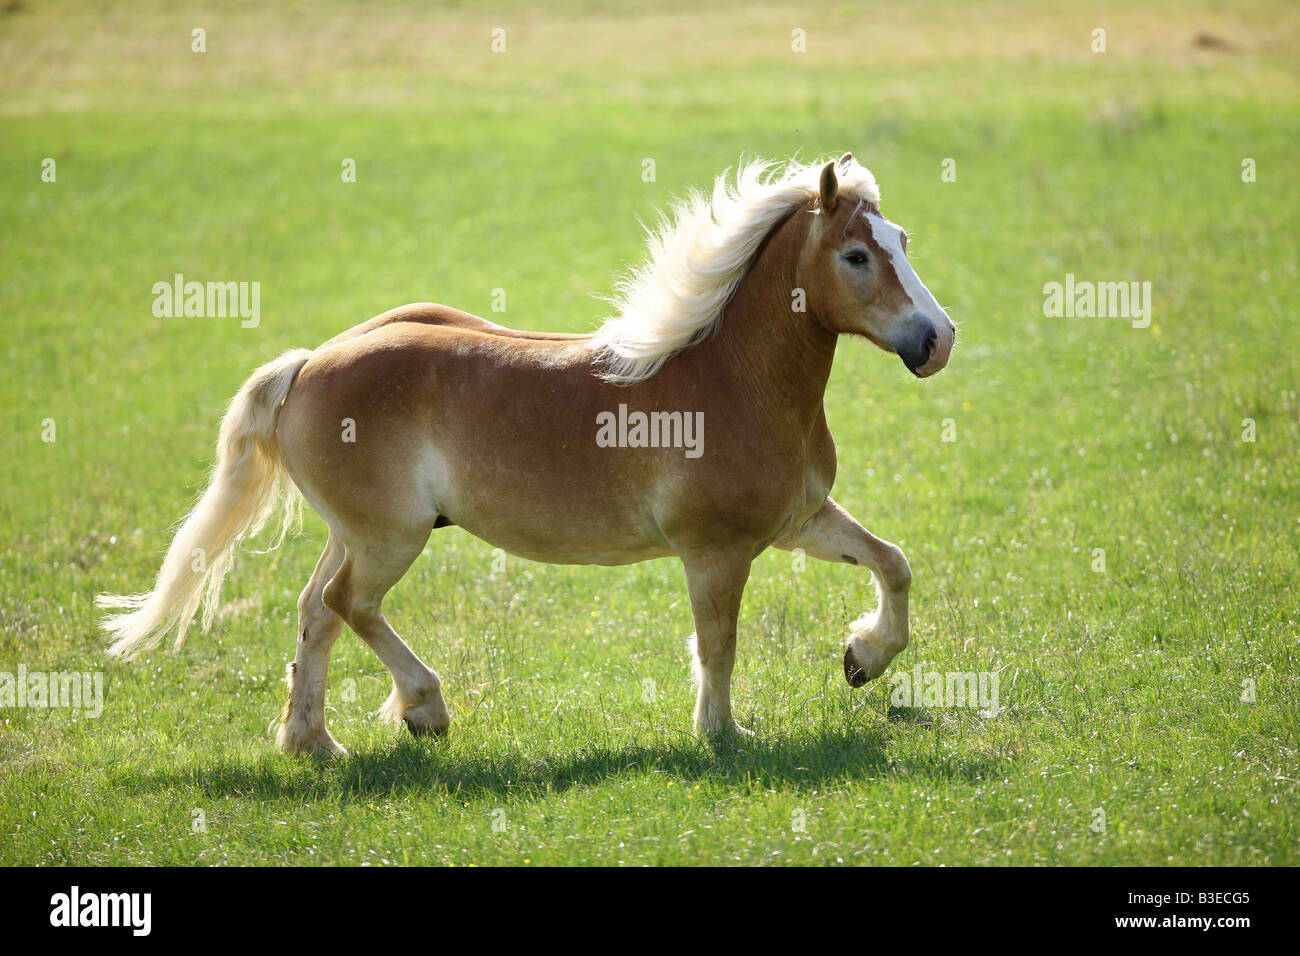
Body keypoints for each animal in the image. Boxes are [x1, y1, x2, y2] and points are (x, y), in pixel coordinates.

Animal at [98, 153, 955, 756]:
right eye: (855, 255)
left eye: (903, 241)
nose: (937, 339)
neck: (735, 376)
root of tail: (310, 364)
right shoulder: (716, 551)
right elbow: (718, 645)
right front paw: (723, 735)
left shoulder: (796, 521)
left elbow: (895, 562)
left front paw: (863, 657)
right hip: (391, 538)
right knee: (348, 605)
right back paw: (426, 710)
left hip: (355, 533)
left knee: (316, 611)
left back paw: (314, 742)